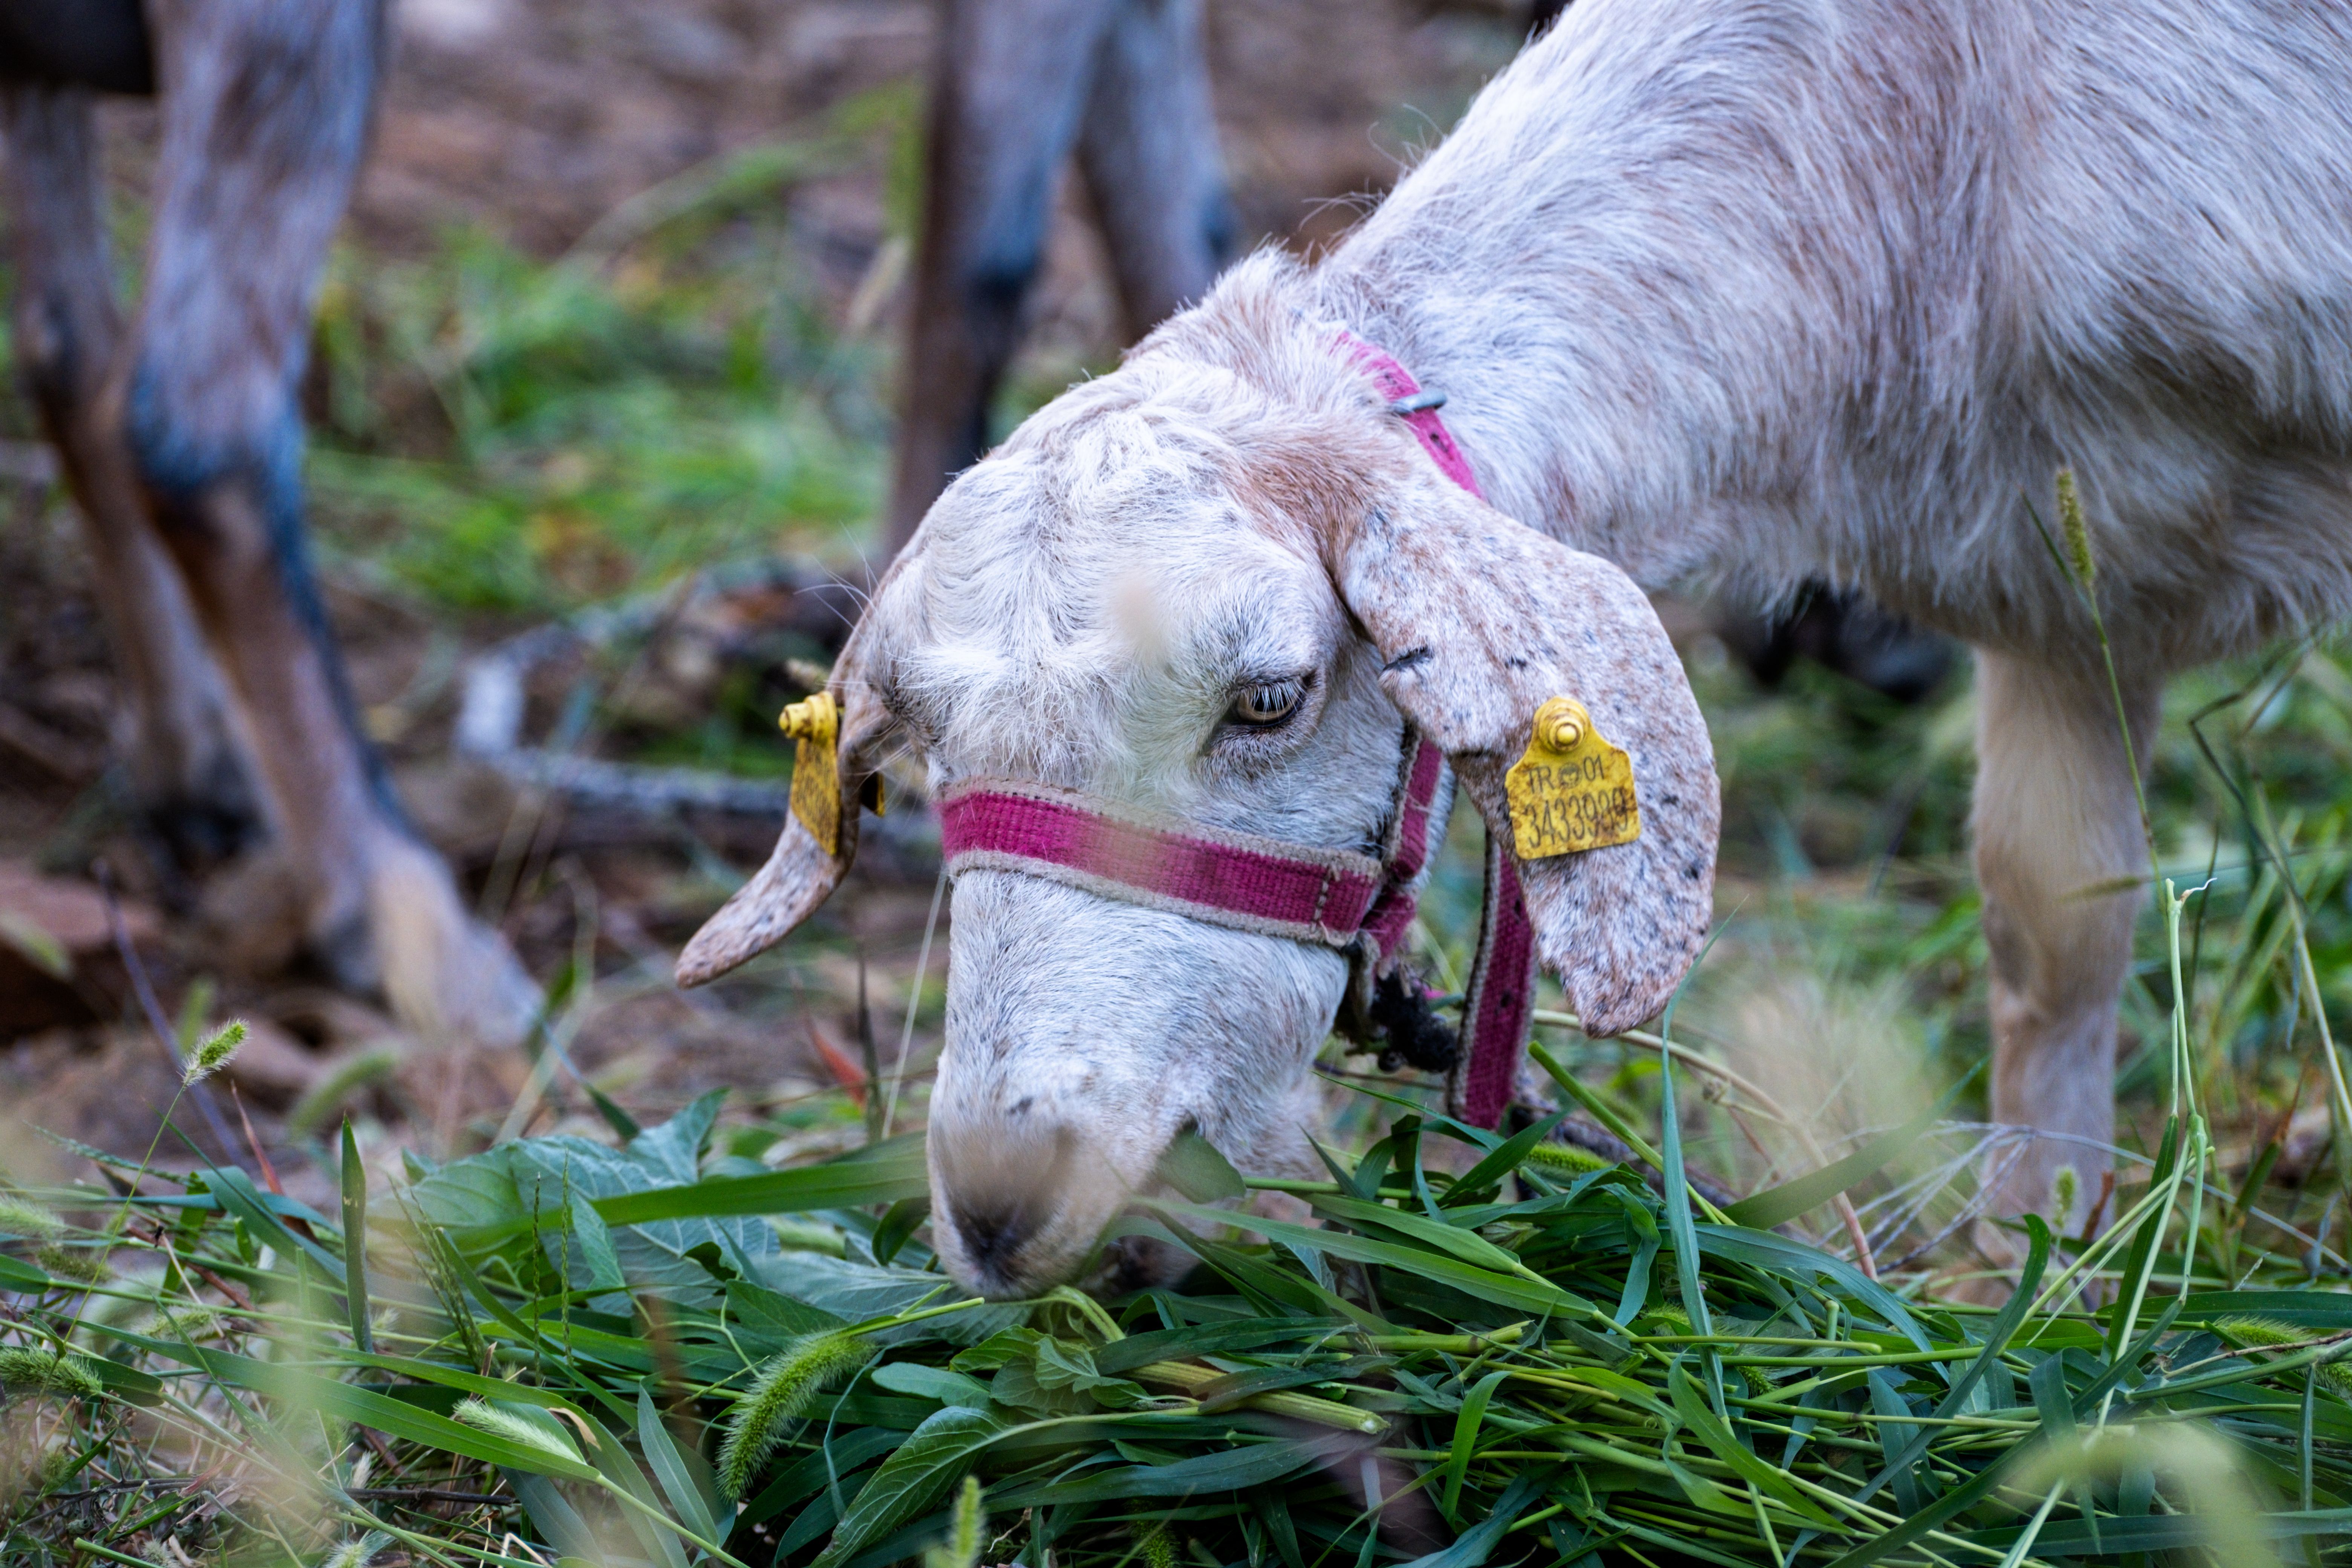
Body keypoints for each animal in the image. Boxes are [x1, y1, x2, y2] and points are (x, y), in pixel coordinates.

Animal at [681, 0, 2352, 1299]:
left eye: (1271, 698)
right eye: (929, 750)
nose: (999, 1201)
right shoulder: (2066, 569)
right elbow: (2052, 921)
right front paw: (2036, 1277)